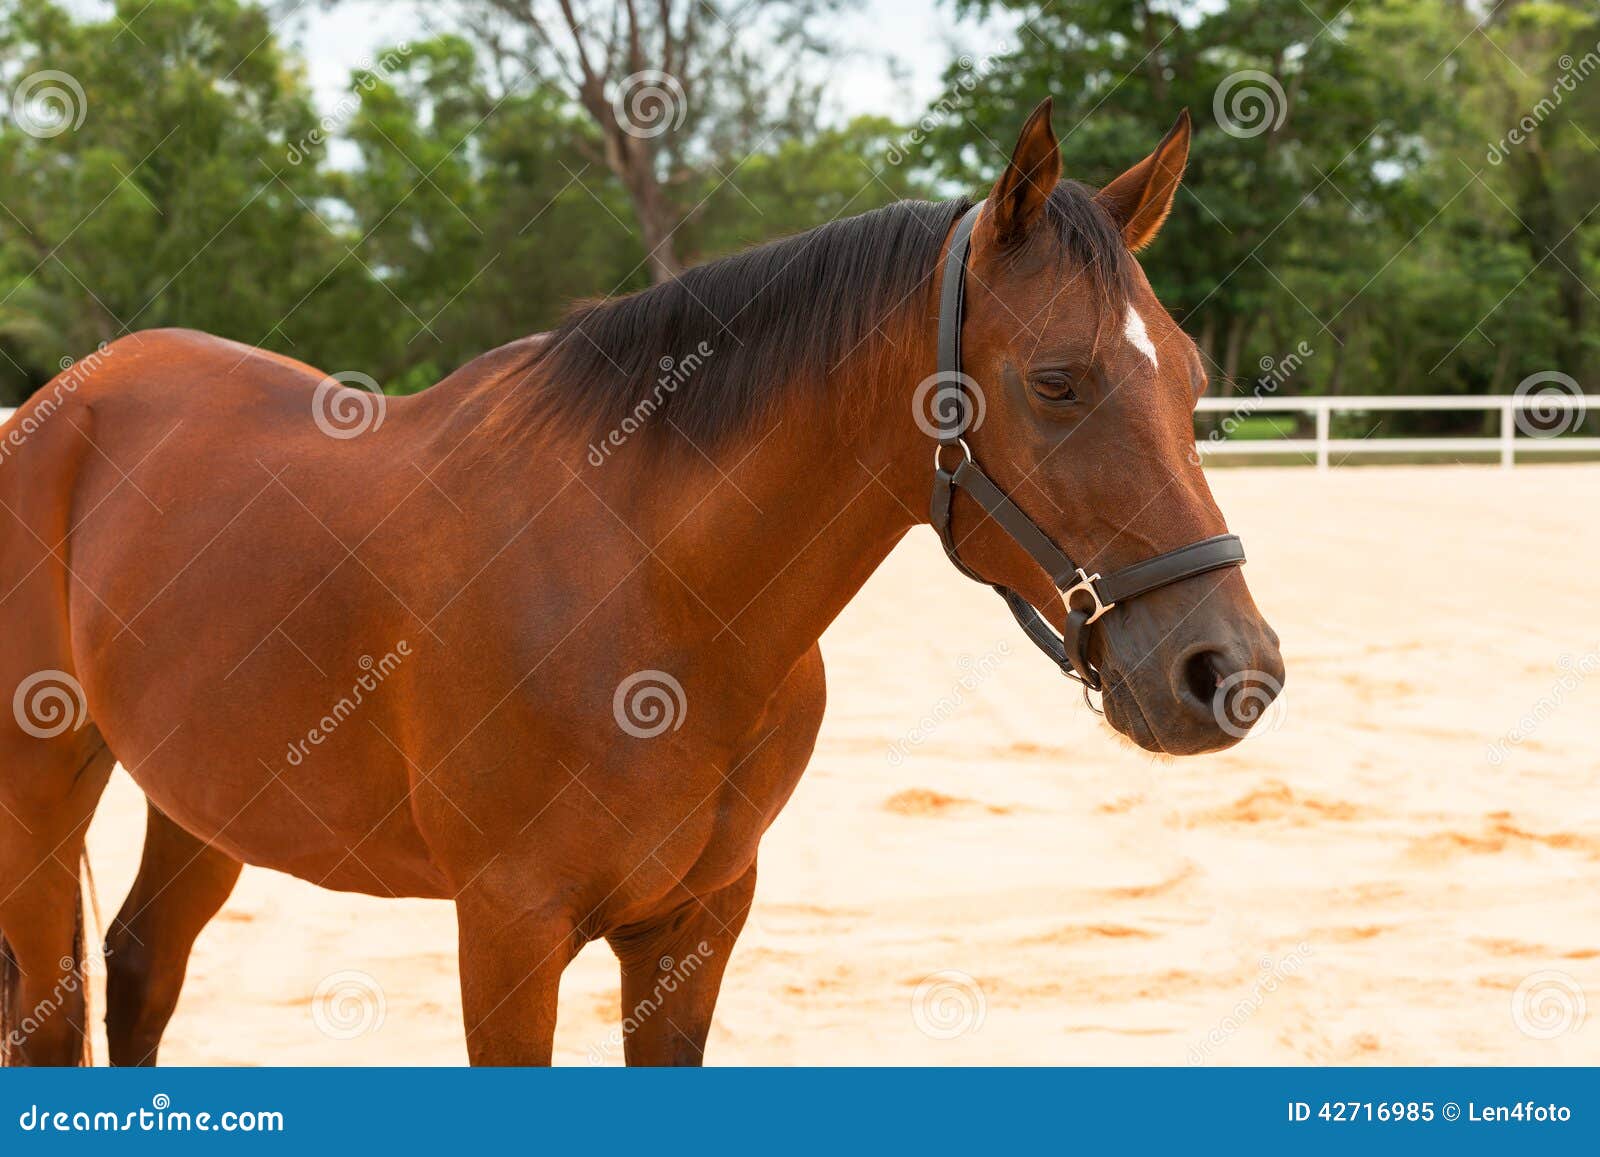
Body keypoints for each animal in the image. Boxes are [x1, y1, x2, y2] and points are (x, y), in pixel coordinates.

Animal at [0, 98, 1282, 1066]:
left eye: (1192, 375)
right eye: (1057, 381)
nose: (1228, 671)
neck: (655, 592)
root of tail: (62, 400)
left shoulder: (692, 927)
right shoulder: (507, 932)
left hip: (198, 795)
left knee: (140, 971)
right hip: (41, 802)